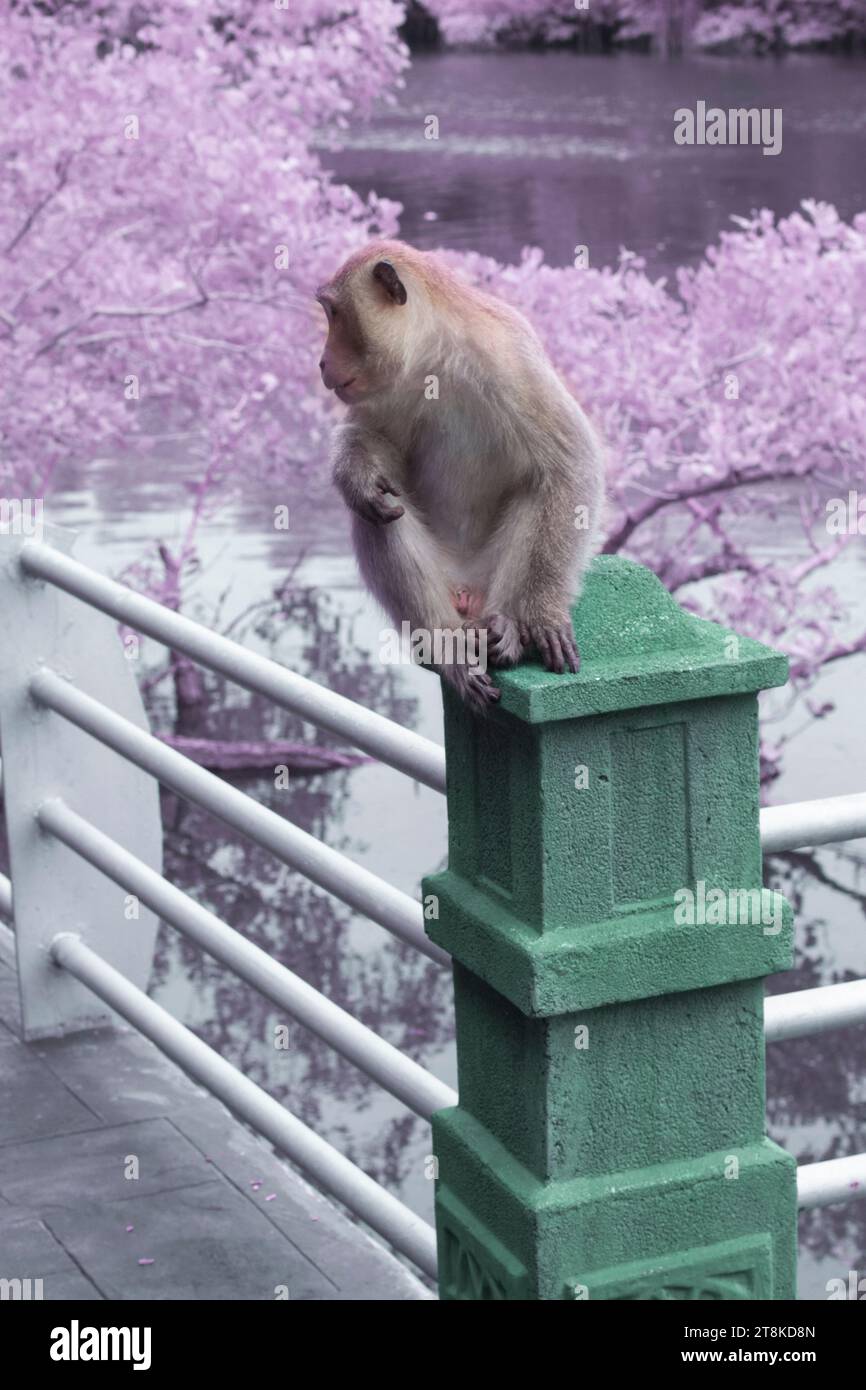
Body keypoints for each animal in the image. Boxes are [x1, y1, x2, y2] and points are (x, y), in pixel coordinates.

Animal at [317, 239, 605, 713]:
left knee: (536, 497)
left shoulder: (509, 362)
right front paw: (357, 477)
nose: (322, 363)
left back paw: (508, 631)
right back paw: (447, 645)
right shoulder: (391, 388)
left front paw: (544, 614)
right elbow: (371, 442)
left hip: (492, 579)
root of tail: (470, 596)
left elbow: (570, 465)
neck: (435, 354)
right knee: (379, 516)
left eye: (334, 314)